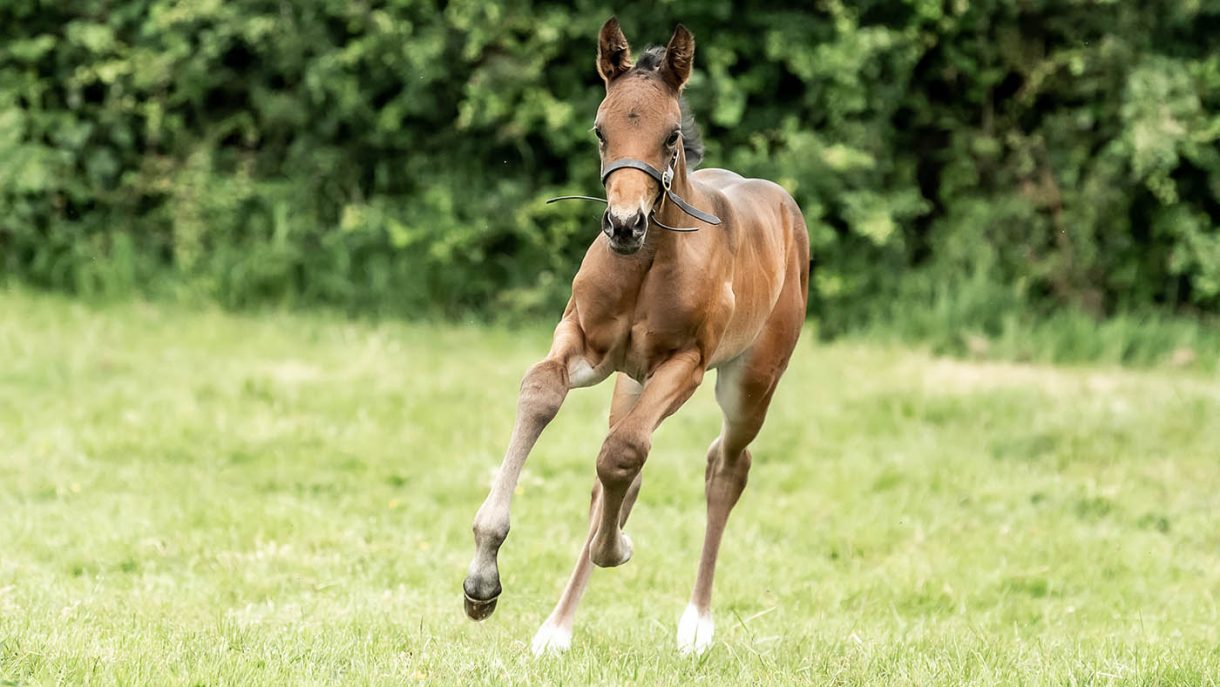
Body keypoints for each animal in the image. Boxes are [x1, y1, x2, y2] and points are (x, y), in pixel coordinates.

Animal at [462, 18, 810, 656]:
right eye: (600, 131)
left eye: (670, 136)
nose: (624, 224)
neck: (646, 263)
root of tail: (782, 206)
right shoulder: (584, 343)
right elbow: (544, 397)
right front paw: (481, 582)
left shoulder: (686, 364)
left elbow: (623, 454)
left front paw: (618, 547)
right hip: (631, 380)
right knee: (618, 471)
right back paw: (556, 629)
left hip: (750, 382)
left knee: (724, 467)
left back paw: (697, 624)